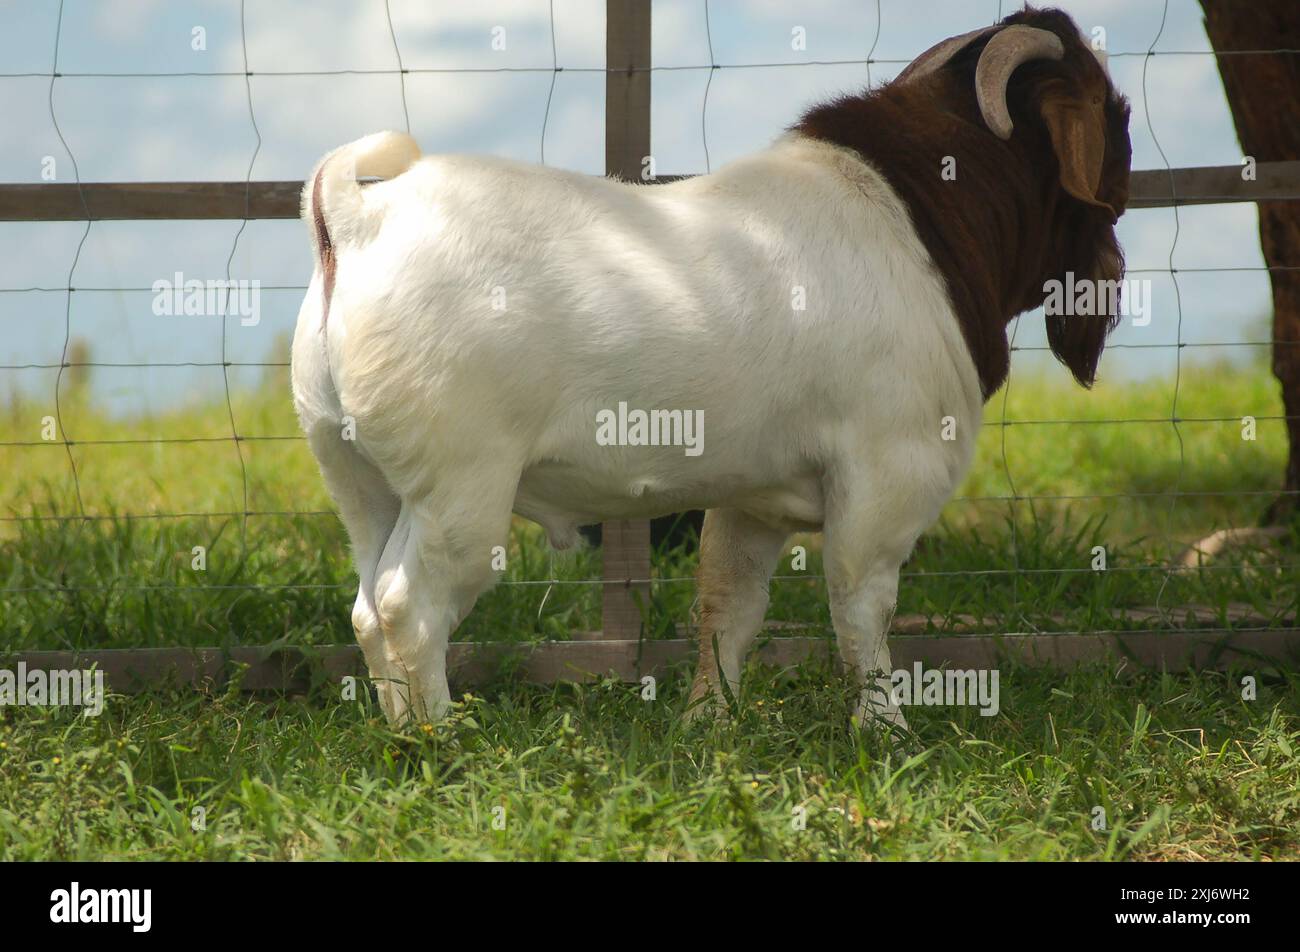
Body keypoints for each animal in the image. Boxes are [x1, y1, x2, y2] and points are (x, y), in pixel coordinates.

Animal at [292, 6, 1132, 730]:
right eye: (1113, 109)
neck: (914, 213)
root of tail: (362, 216)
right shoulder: (889, 469)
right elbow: (861, 604)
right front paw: (884, 728)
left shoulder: (752, 495)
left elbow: (728, 604)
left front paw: (709, 724)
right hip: (460, 487)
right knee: (408, 606)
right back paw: (443, 738)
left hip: (359, 477)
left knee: (367, 604)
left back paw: (403, 730)